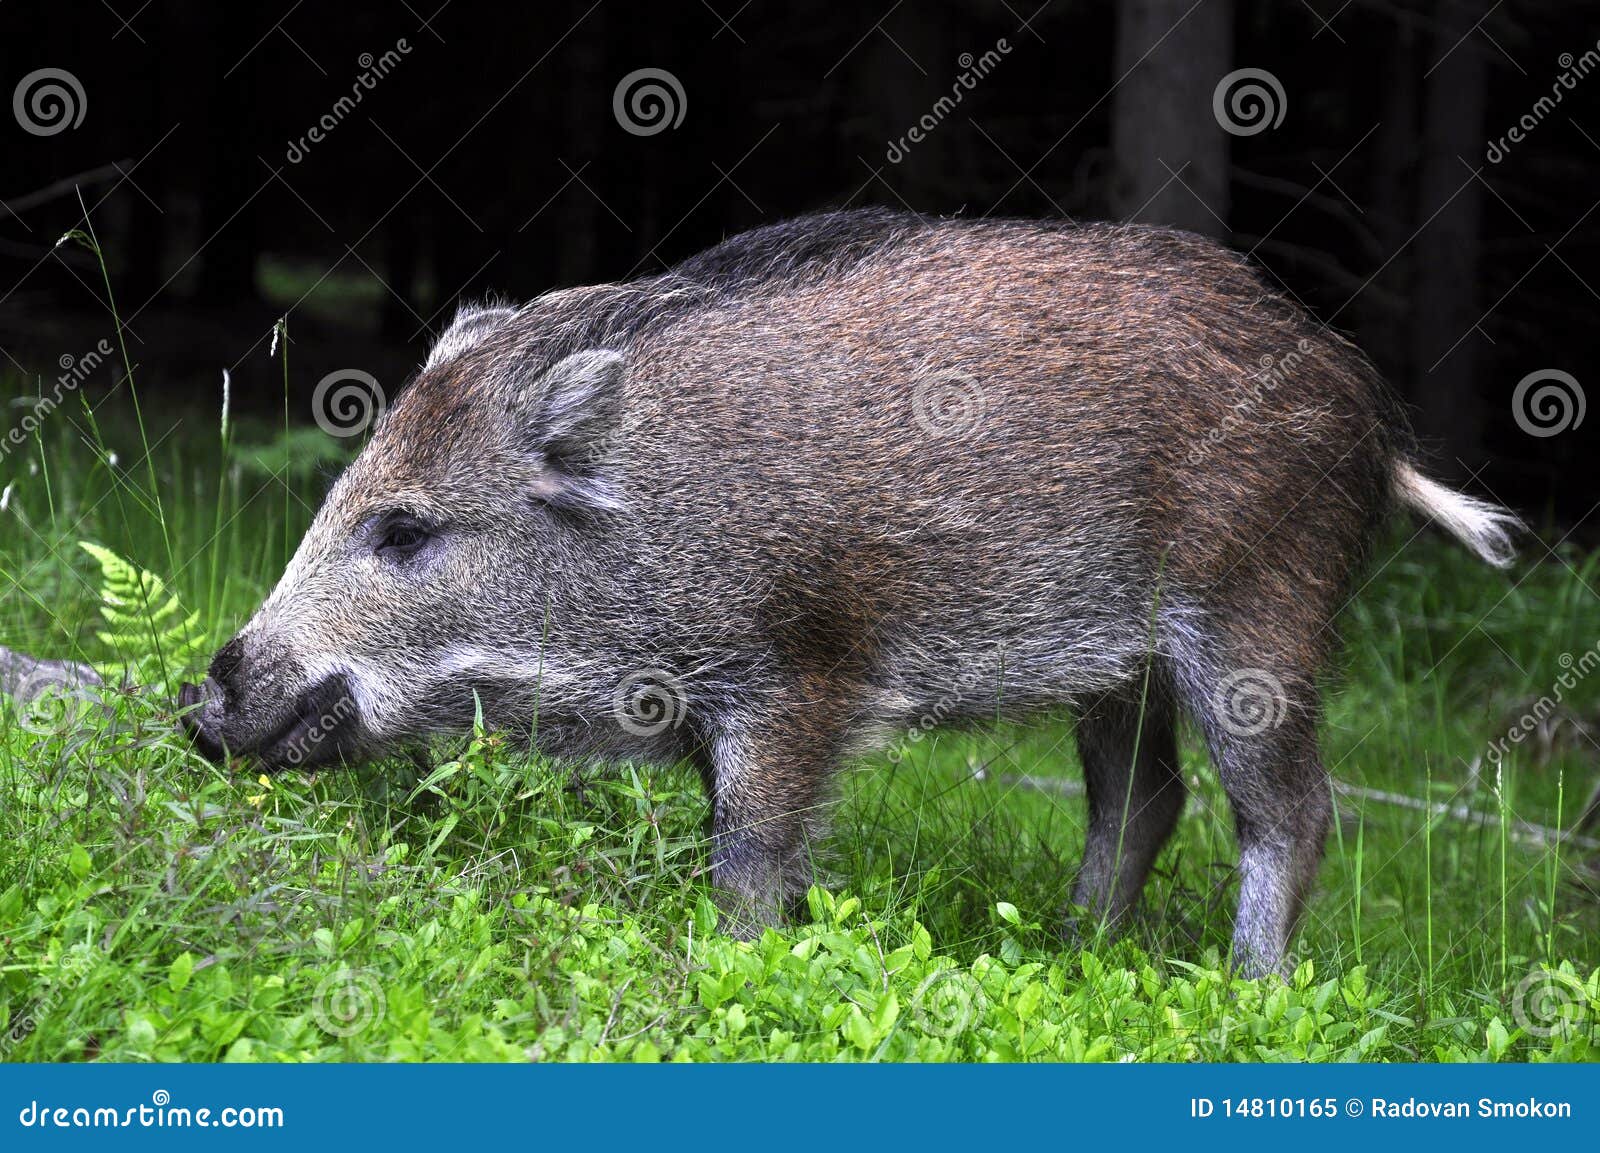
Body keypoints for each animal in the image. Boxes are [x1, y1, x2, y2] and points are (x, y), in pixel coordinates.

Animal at [179, 208, 1520, 977]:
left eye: (406, 530)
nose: (204, 702)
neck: (657, 517)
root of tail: (1361, 406)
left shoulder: (802, 675)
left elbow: (747, 852)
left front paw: (732, 970)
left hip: (1256, 615)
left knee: (1291, 810)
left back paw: (1247, 992)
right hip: (1116, 665)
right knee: (1143, 798)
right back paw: (1070, 954)